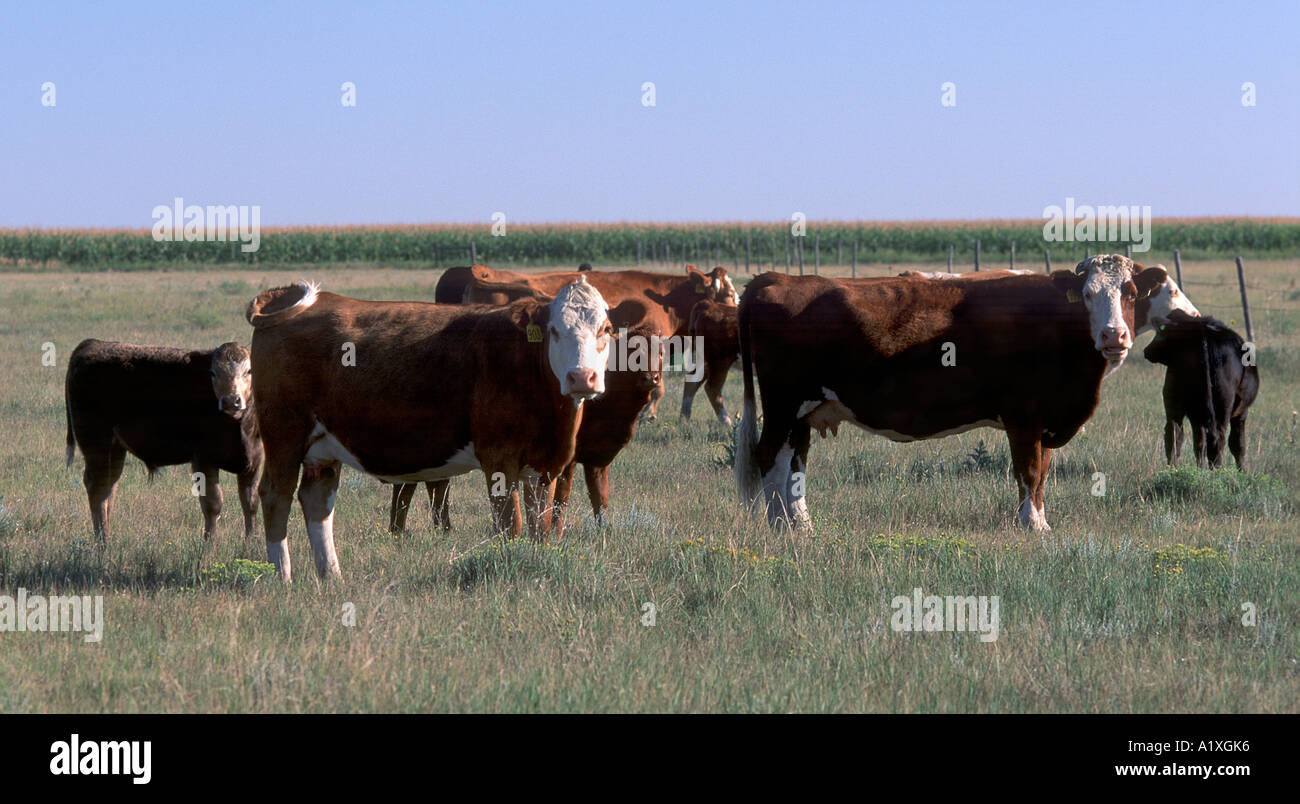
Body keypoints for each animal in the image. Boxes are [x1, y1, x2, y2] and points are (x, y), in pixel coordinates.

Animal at [64, 339, 262, 541]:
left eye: (249, 371)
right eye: (213, 373)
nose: (231, 400)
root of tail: (92, 343)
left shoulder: (256, 459)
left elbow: (250, 502)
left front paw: (251, 541)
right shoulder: (203, 458)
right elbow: (212, 504)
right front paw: (210, 542)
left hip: (115, 449)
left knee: (108, 488)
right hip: (96, 444)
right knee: (96, 487)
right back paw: (102, 540)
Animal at [246, 277, 613, 582]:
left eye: (606, 329)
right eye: (554, 330)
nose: (582, 378)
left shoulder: (546, 467)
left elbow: (542, 527)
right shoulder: (498, 458)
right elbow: (512, 525)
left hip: (322, 448)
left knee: (317, 501)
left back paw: (331, 576)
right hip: (284, 434)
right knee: (276, 496)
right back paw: (283, 578)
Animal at [734, 255, 1168, 531]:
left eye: (1130, 293)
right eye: (1089, 295)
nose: (1113, 335)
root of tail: (777, 278)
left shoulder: (1044, 419)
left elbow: (1043, 472)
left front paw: (1040, 521)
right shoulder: (1024, 417)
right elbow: (1028, 471)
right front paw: (1032, 525)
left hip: (803, 411)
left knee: (794, 460)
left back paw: (801, 523)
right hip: (783, 404)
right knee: (770, 455)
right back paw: (780, 526)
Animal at [1143, 310, 1259, 470]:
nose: (1147, 351)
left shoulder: (1196, 416)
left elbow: (1199, 443)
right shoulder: (1241, 413)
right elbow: (1238, 445)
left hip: (1177, 403)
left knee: (1175, 435)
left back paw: (1173, 469)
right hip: (1222, 407)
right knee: (1217, 440)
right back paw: (1215, 471)